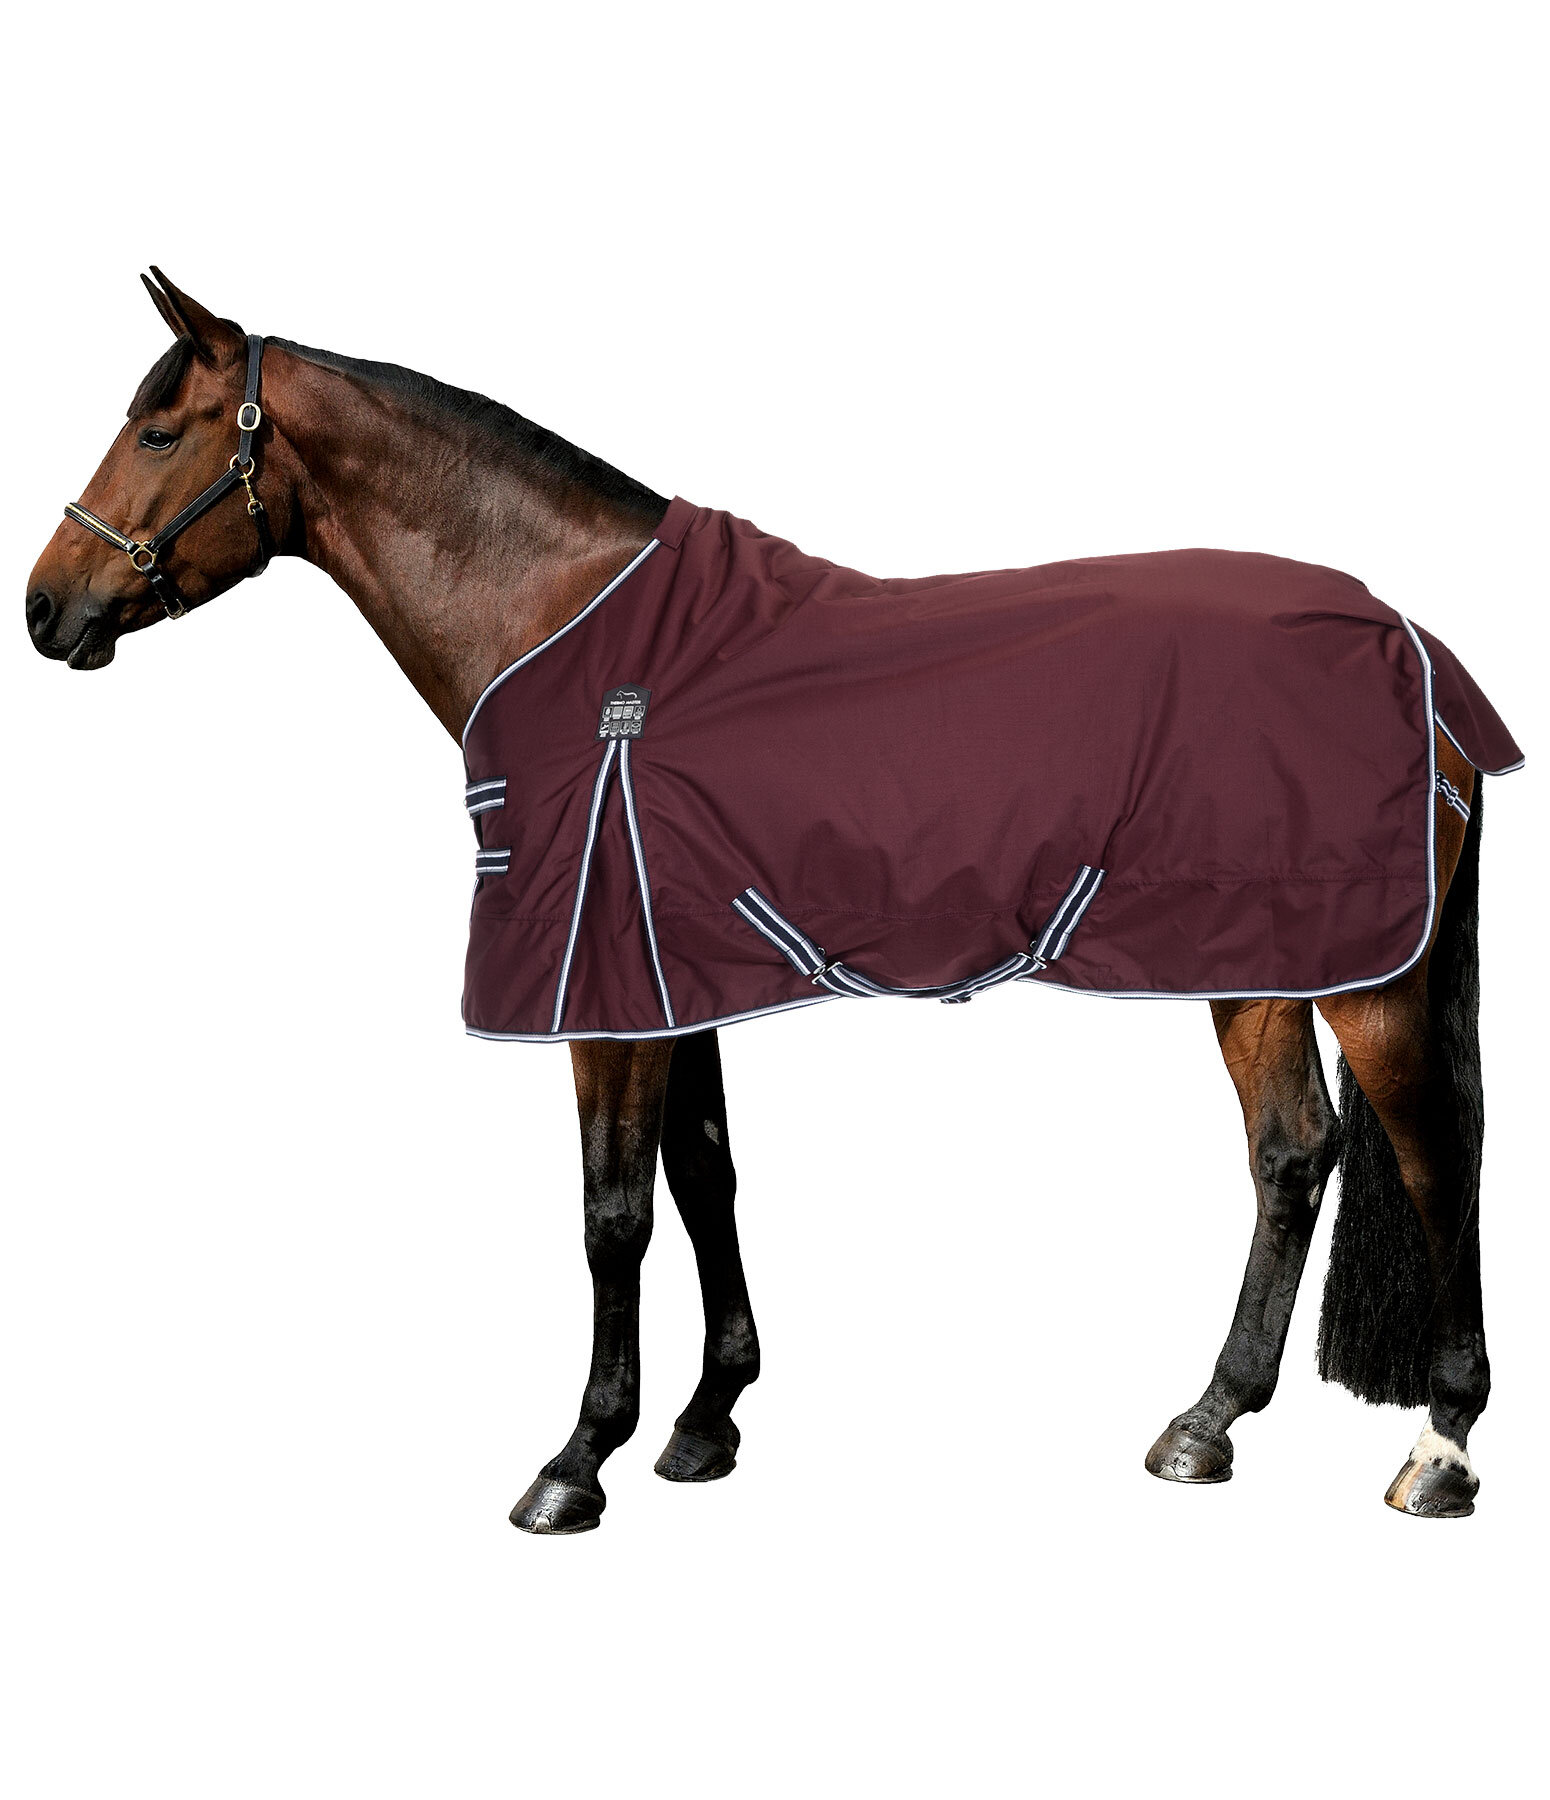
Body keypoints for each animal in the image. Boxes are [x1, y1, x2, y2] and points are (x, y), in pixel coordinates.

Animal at [27, 269, 1520, 1532]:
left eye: (159, 431)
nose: (47, 608)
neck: (583, 636)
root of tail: (1413, 646)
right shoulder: (667, 977)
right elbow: (703, 1179)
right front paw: (705, 1421)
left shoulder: (601, 995)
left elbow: (613, 1212)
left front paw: (577, 1460)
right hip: (1255, 962)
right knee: (1290, 1156)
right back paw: (1205, 1422)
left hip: (1364, 980)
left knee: (1433, 1156)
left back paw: (1439, 1450)